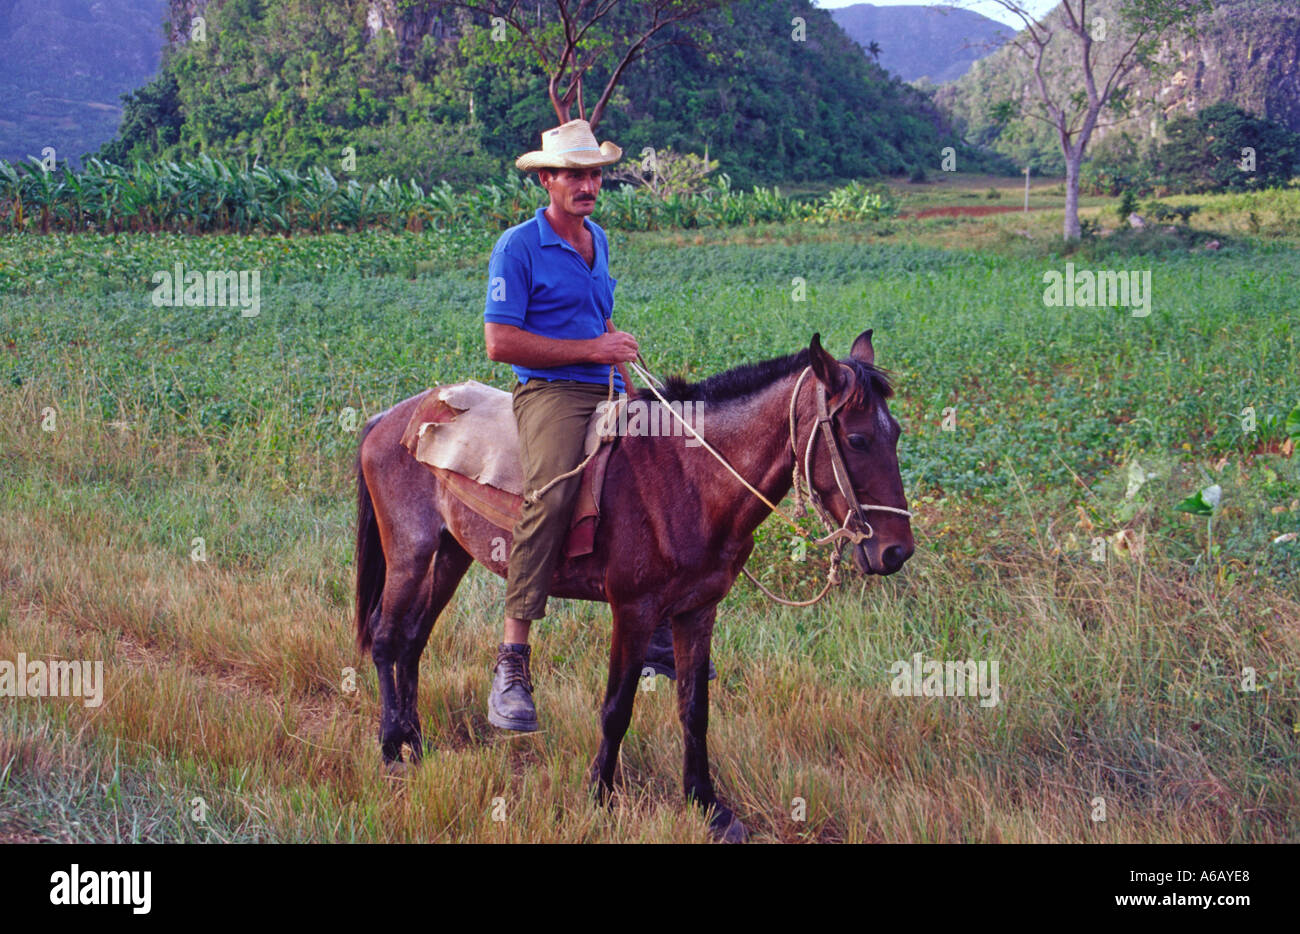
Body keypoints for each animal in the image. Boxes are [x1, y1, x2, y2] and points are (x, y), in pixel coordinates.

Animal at [353, 329, 914, 841]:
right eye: (857, 439)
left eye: (896, 435)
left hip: (451, 554)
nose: (897, 552)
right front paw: (600, 796)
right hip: (410, 552)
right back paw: (391, 748)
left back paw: (416, 743)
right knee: (386, 637)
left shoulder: (697, 610)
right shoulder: (633, 610)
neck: (692, 480)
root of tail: (392, 420)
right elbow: (617, 709)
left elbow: (694, 709)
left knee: (414, 640)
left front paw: (708, 806)